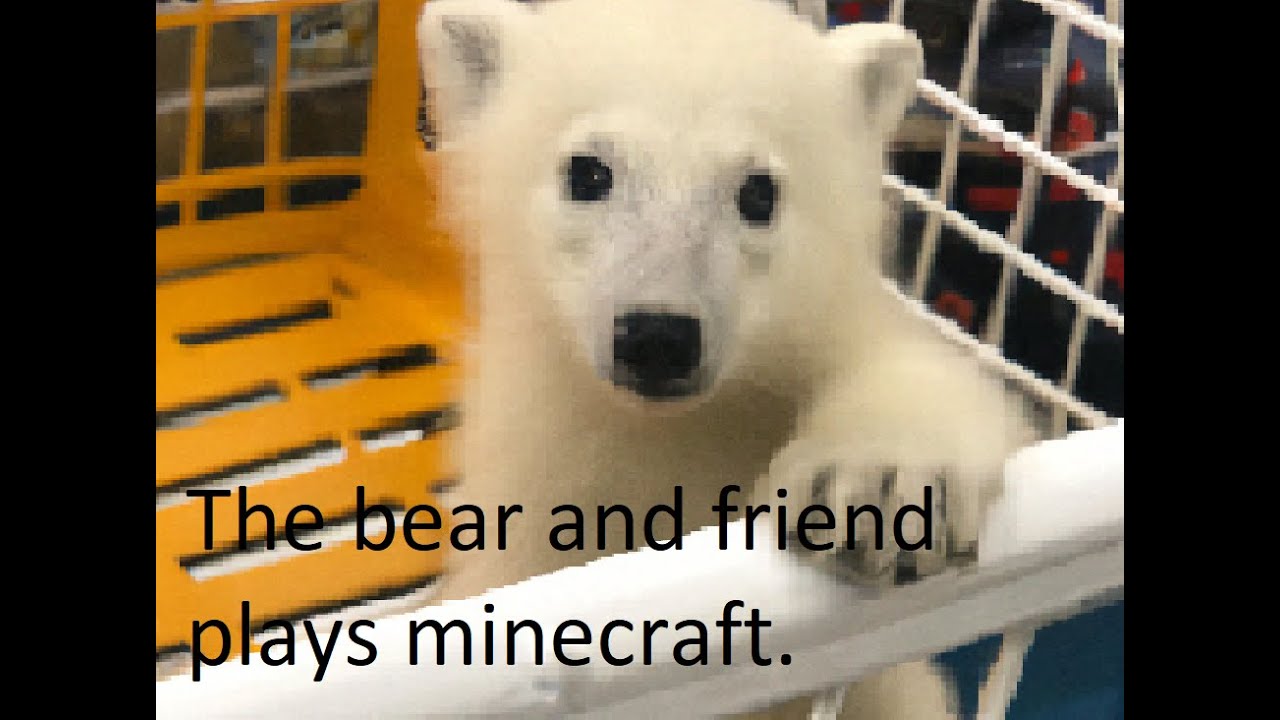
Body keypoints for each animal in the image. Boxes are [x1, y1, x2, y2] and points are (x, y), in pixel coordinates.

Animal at [417, 0, 1032, 716]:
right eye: (588, 171)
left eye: (759, 191)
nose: (658, 334)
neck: (668, 437)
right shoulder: (532, 459)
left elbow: (924, 376)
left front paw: (881, 490)